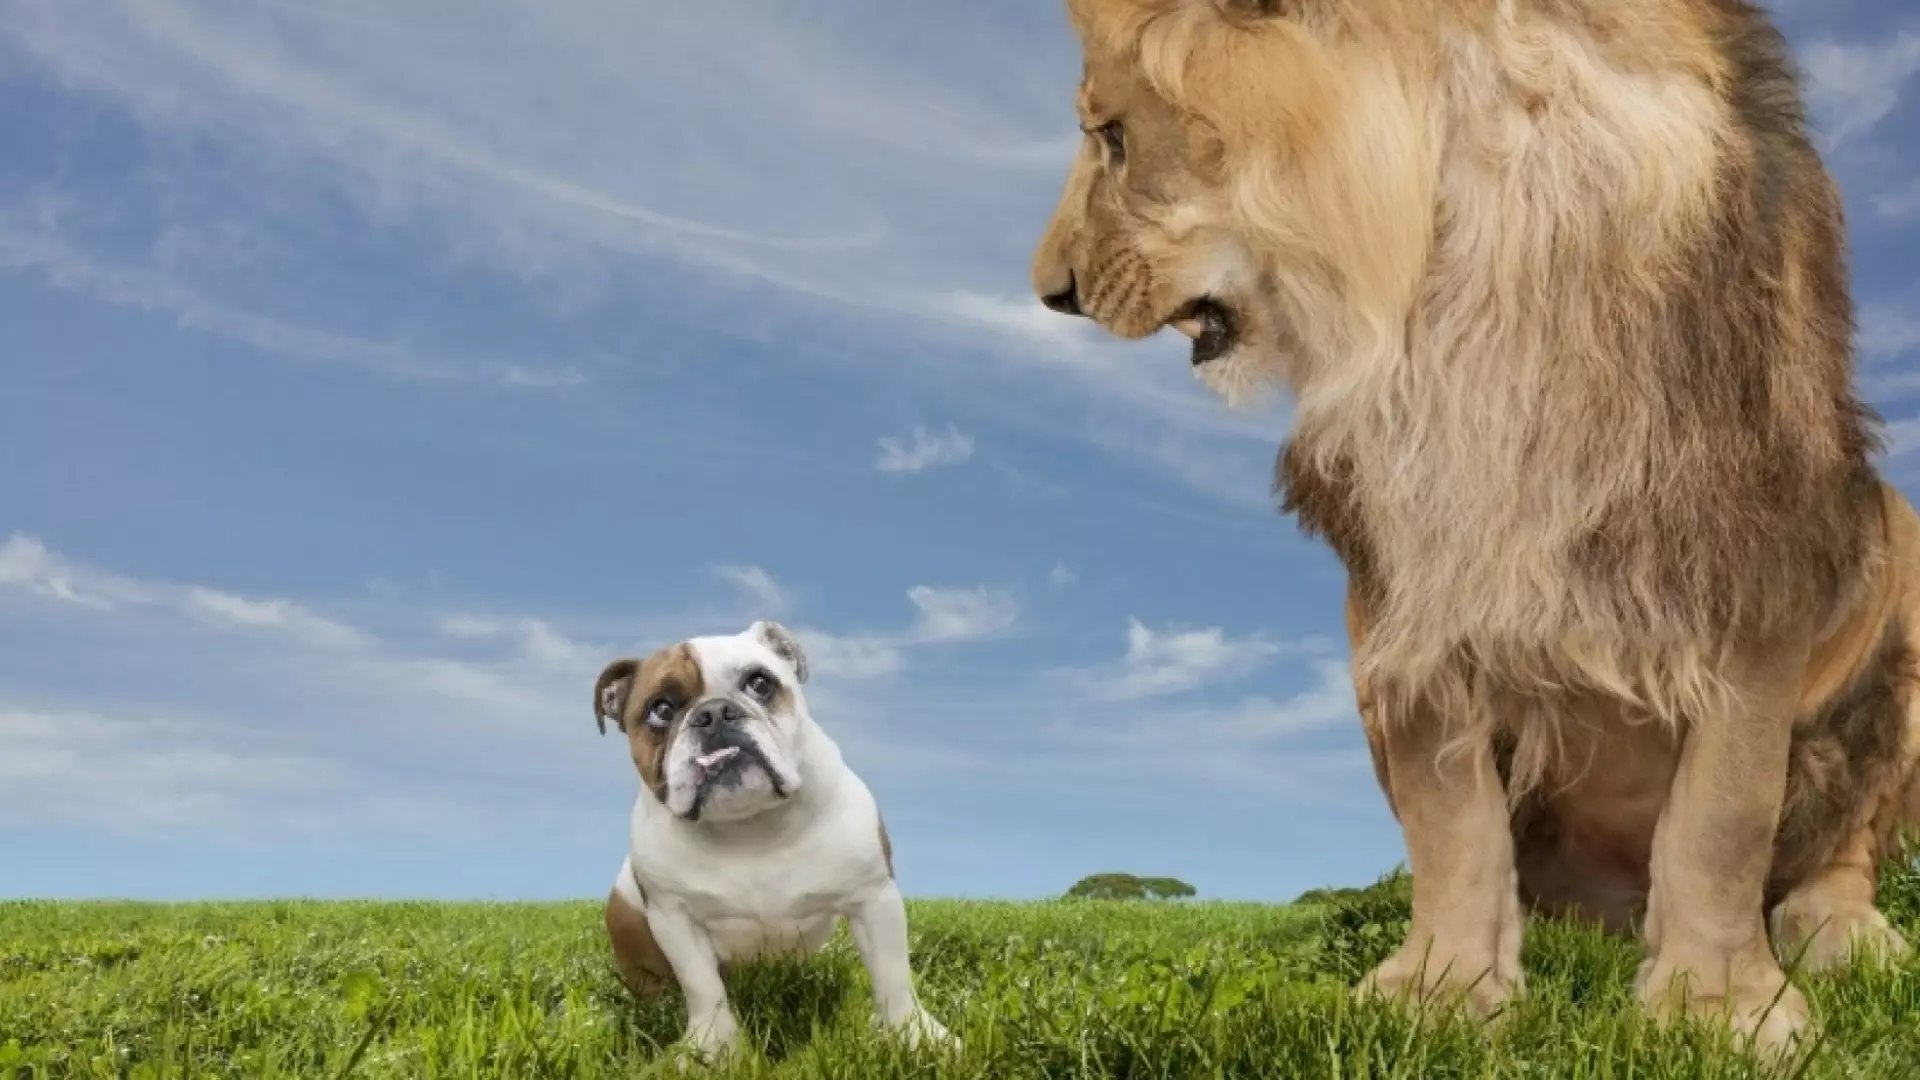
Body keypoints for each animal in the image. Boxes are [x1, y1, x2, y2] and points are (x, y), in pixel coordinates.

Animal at [591, 618, 952, 1060]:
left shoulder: (873, 898)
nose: (714, 712)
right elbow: (702, 987)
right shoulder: (675, 918)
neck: (750, 828)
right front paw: (713, 1048)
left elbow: (893, 976)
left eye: (759, 682)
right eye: (660, 709)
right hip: (623, 909)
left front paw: (915, 1035)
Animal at [1029, 0, 1920, 1053]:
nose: (1051, 291)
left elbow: (1724, 812)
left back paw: (1845, 933)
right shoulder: (1408, 573)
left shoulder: (1747, 540)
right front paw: (1443, 992)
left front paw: (1719, 1010)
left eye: (1113, 136)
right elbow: (1447, 815)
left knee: (1840, 841)